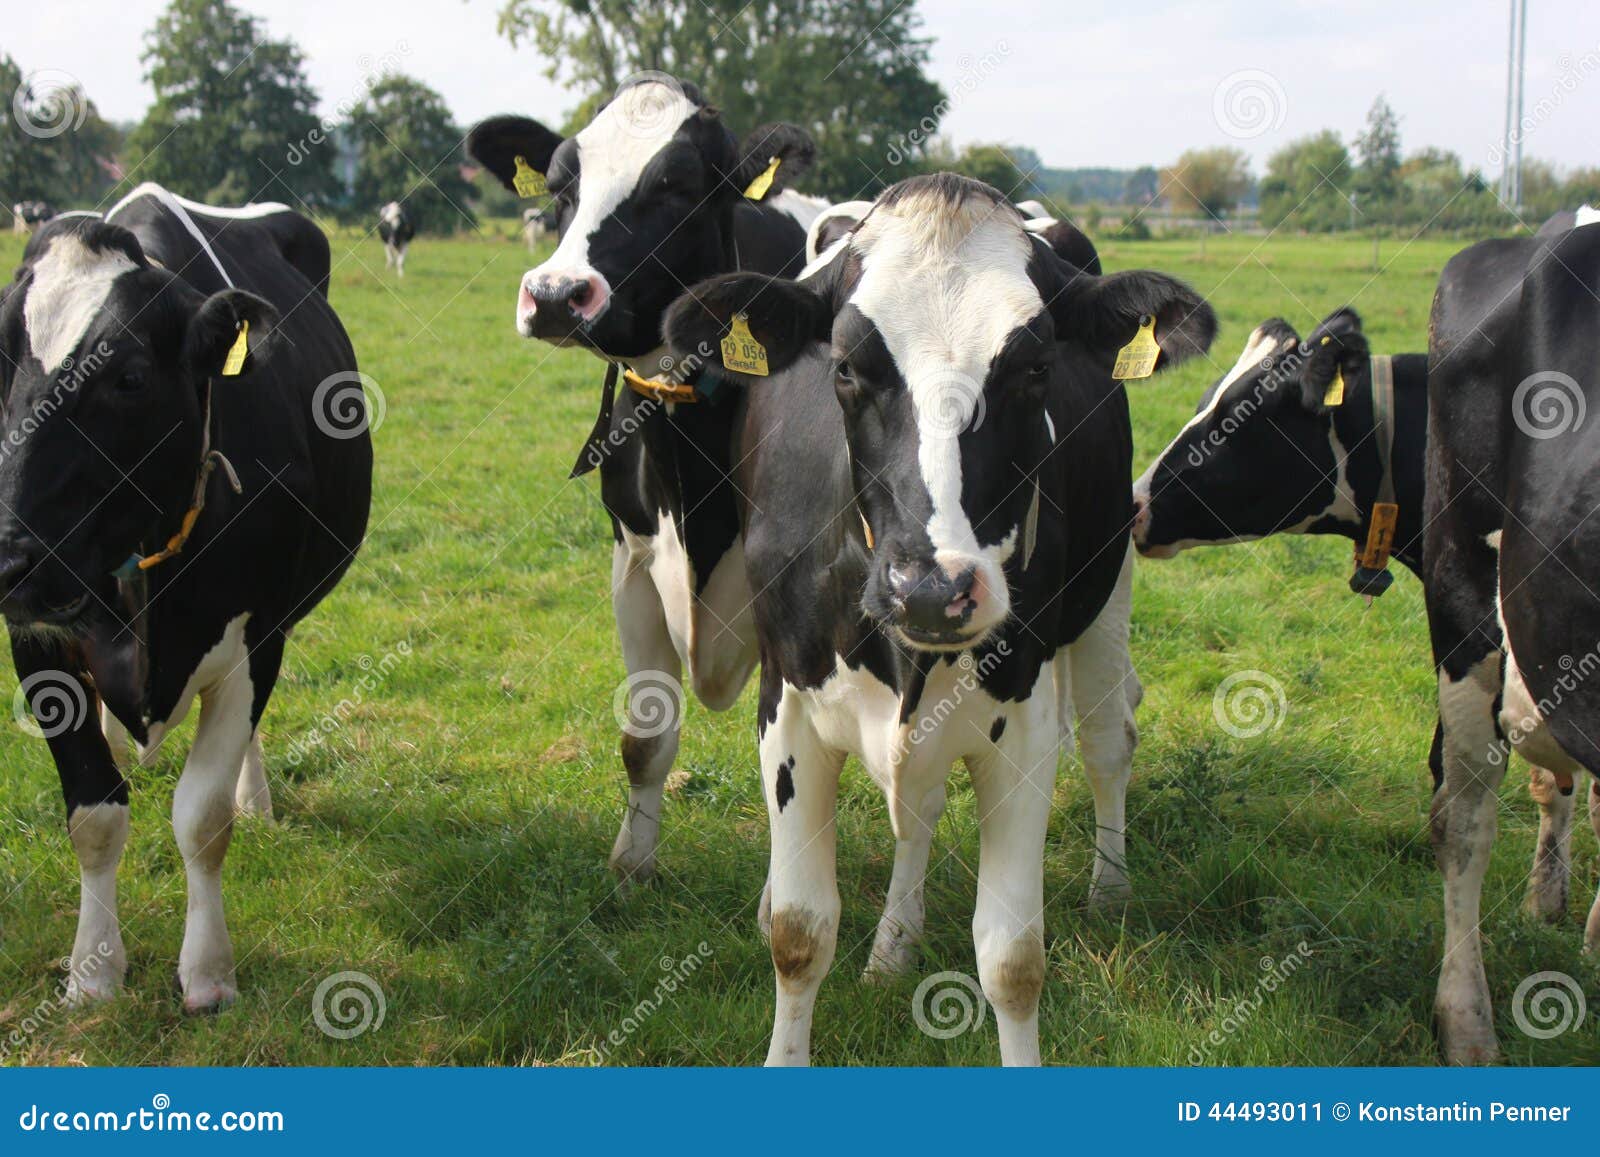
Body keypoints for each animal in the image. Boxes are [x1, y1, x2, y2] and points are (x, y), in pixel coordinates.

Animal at [0, 182, 372, 1010]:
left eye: (129, 378)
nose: (5, 555)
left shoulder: (254, 635)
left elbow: (201, 816)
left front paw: (207, 972)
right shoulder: (38, 642)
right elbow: (95, 815)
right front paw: (94, 970)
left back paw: (254, 797)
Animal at [466, 74, 824, 885]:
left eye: (678, 185)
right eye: (561, 184)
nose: (557, 294)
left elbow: (792, 760)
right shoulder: (630, 562)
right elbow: (645, 738)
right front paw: (632, 863)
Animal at [663, 173, 1216, 1064]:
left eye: (1035, 366)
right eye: (846, 367)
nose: (931, 587)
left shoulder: (1025, 725)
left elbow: (1013, 958)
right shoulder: (788, 705)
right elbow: (800, 931)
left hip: (1109, 589)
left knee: (1108, 738)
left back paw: (1110, 885)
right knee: (916, 808)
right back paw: (893, 945)